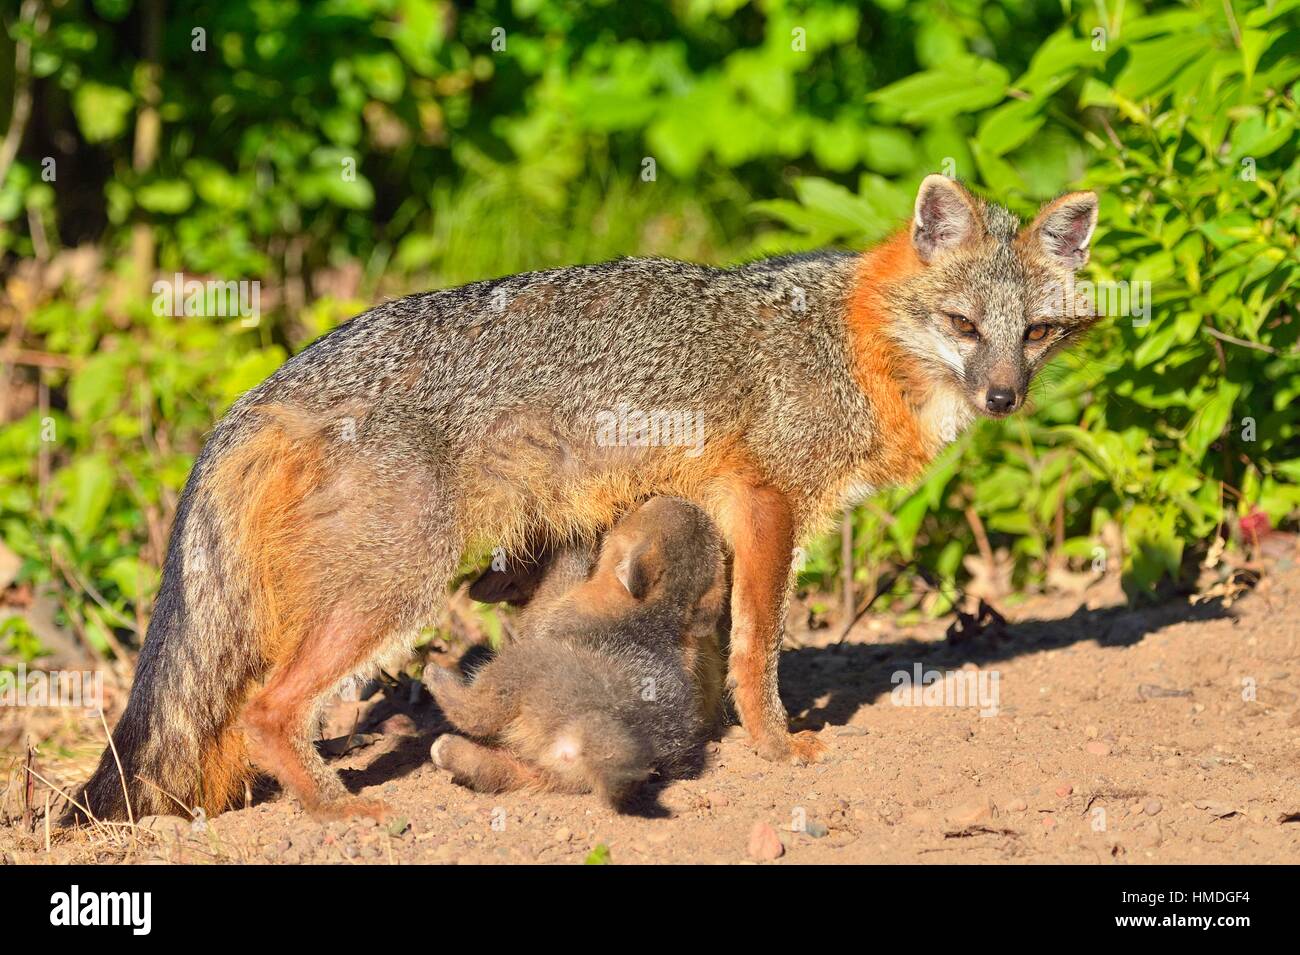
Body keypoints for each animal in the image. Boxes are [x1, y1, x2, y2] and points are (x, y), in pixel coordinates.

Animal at [423, 496, 726, 808]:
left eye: (644, 509)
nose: (648, 496)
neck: (657, 616)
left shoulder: (548, 617)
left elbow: (563, 575)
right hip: (541, 772)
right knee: (495, 771)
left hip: (524, 663)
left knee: (474, 714)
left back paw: (437, 681)